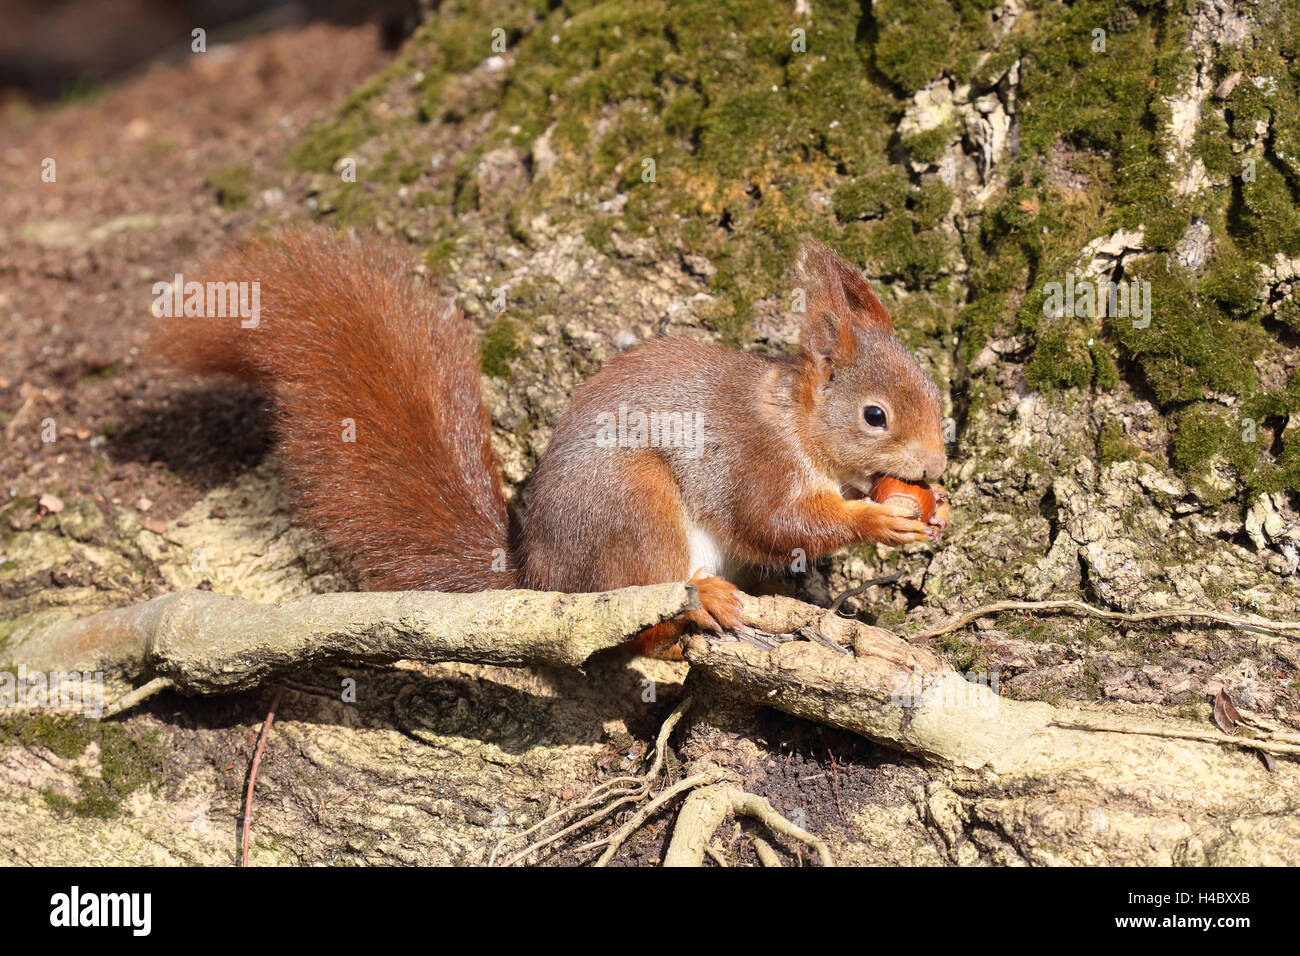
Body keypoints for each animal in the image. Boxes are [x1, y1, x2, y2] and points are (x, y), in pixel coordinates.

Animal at [151, 229, 950, 658]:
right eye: (875, 416)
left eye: (935, 392)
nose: (938, 466)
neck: (795, 421)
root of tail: (539, 580)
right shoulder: (751, 458)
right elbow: (777, 520)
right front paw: (877, 520)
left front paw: (934, 511)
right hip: (631, 506)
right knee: (634, 619)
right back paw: (701, 604)